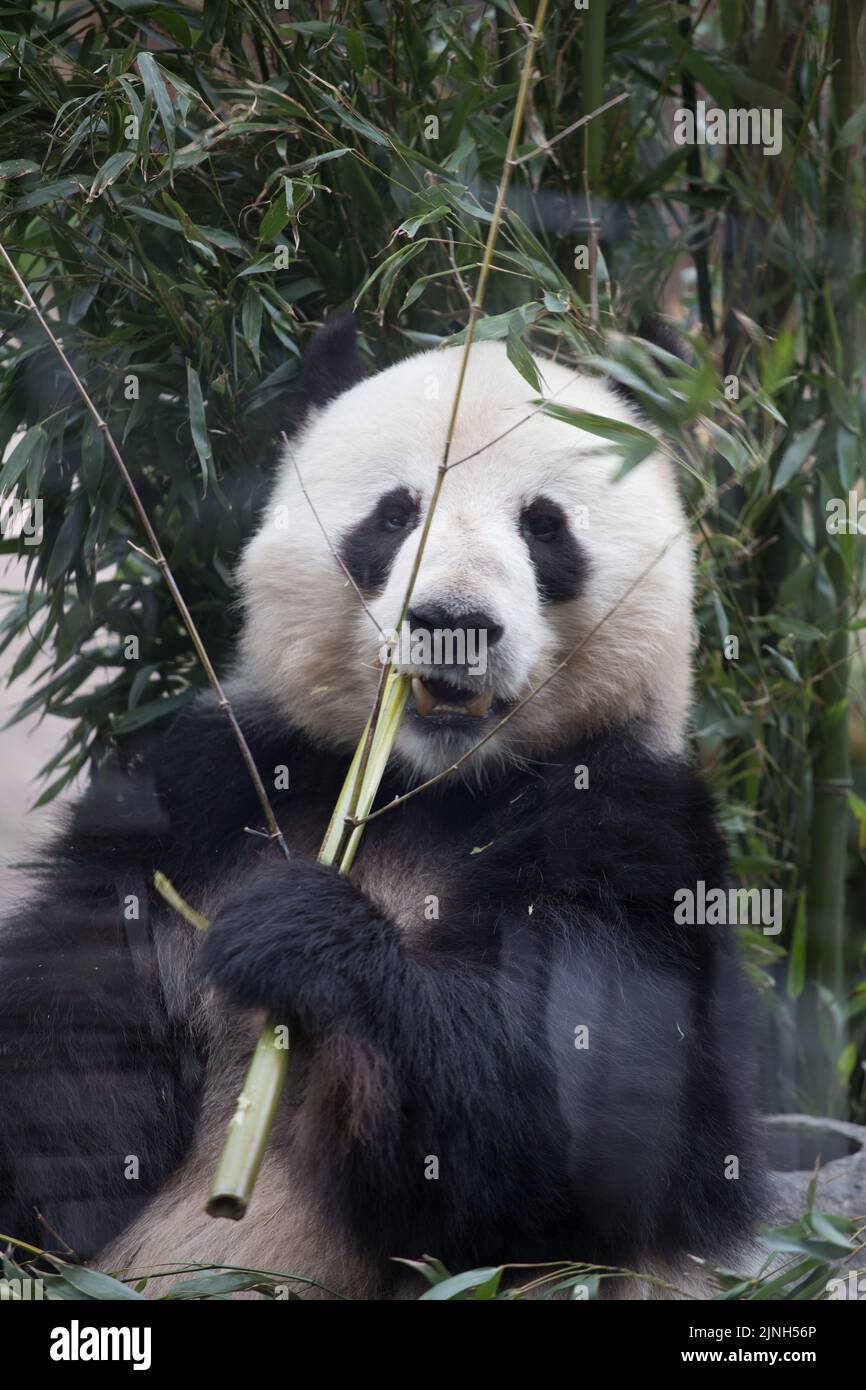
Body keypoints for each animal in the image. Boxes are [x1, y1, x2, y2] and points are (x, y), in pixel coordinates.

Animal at [0, 317, 763, 1299]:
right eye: (396, 514)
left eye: (545, 526)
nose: (452, 622)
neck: (421, 785)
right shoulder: (207, 797)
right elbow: (74, 1036)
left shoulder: (632, 829)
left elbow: (582, 1115)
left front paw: (304, 938)